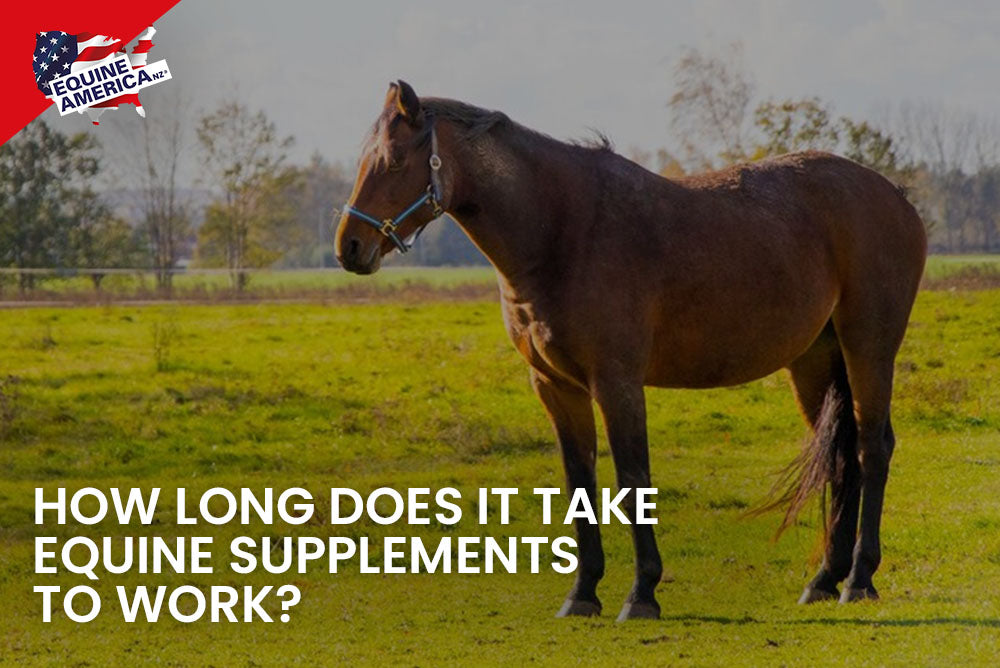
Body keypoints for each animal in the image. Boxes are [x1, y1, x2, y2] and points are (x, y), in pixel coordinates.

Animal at [334, 80, 927, 621]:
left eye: (392, 160)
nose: (349, 247)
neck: (564, 231)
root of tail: (896, 196)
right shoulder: (557, 388)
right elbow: (580, 485)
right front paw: (582, 594)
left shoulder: (617, 384)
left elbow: (632, 479)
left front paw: (641, 593)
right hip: (814, 362)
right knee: (841, 455)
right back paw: (825, 579)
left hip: (868, 347)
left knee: (872, 448)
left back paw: (859, 579)